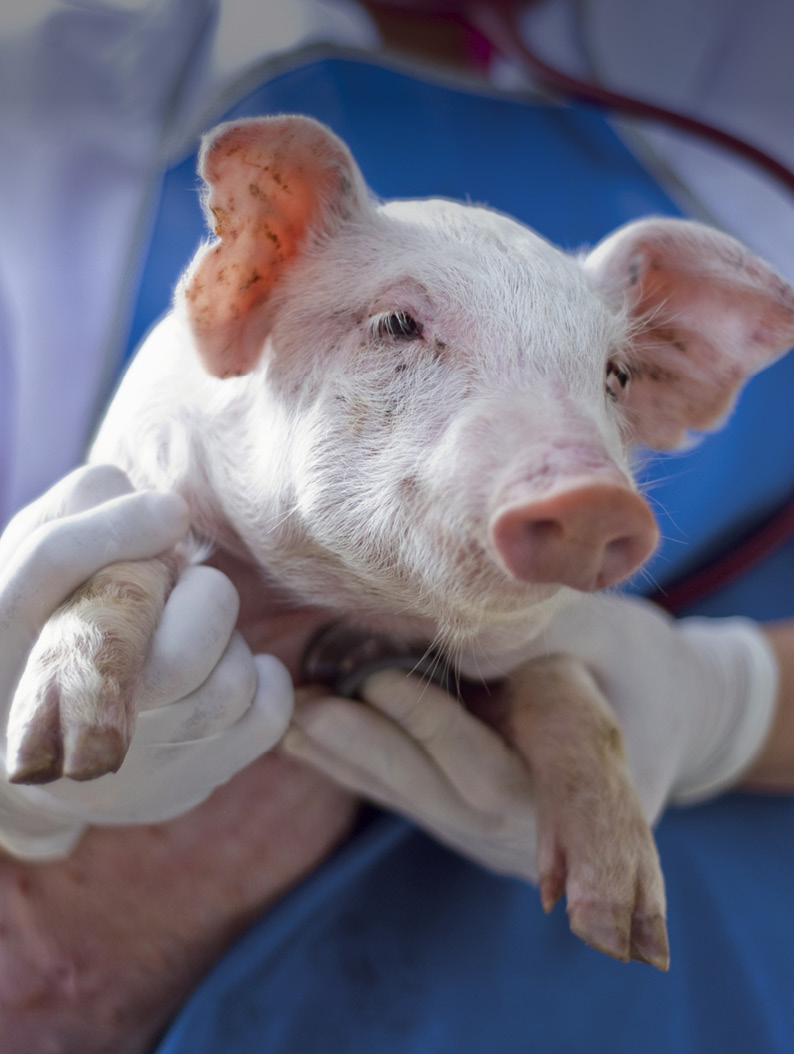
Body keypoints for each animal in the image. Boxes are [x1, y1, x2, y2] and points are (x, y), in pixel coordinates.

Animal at [6, 115, 794, 971]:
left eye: (615, 376)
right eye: (396, 324)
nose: (592, 495)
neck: (316, 615)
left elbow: (567, 688)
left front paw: (628, 935)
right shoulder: (142, 474)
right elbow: (122, 563)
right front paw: (60, 760)